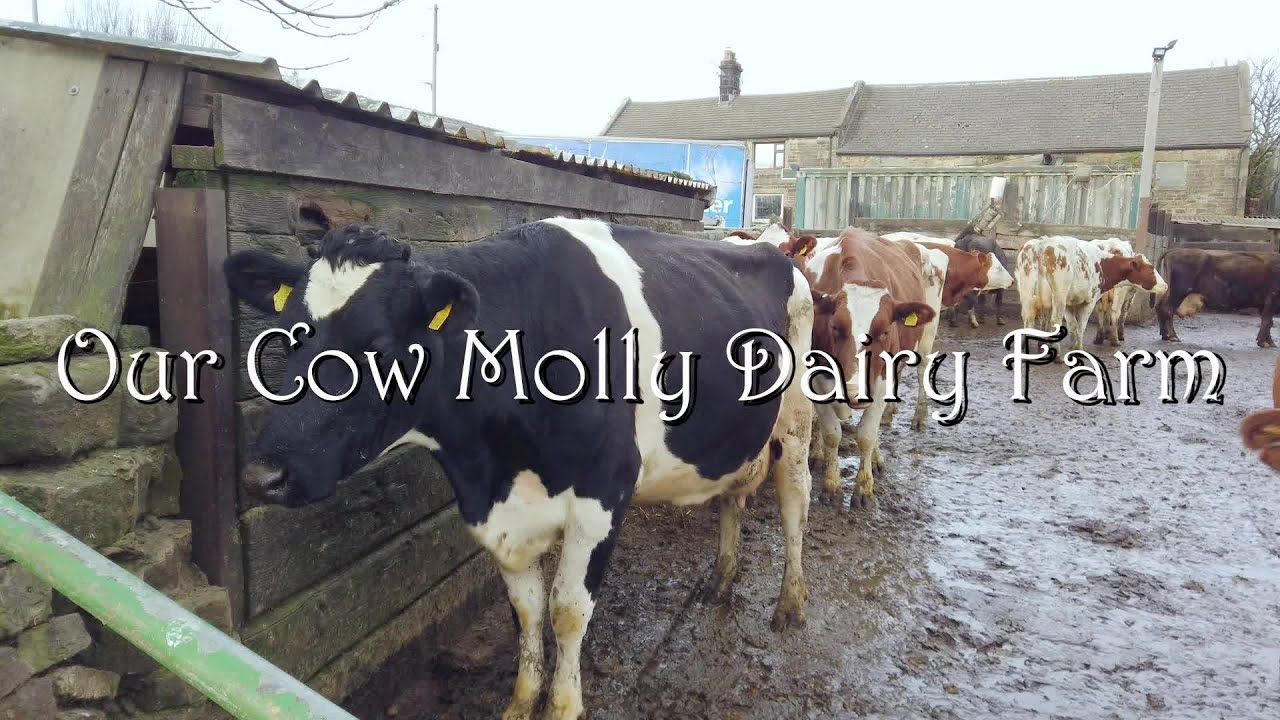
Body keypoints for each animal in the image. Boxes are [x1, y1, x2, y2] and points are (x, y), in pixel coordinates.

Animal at [223, 220, 816, 720]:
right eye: (287, 335)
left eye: (381, 347)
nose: (262, 476)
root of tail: (771, 248)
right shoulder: (495, 512)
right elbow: (527, 611)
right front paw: (521, 702)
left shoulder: (603, 494)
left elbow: (568, 610)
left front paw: (563, 707)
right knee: (732, 499)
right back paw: (721, 580)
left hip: (796, 424)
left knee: (795, 505)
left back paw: (790, 603)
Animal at [778, 228, 936, 508]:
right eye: (834, 327)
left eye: (885, 331)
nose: (854, 393)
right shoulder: (815, 377)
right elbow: (832, 432)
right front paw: (831, 486)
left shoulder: (883, 380)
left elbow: (866, 435)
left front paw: (863, 489)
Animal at [1015, 235, 1168, 361]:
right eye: (1151, 269)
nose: (1166, 286)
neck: (1101, 262)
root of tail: (1041, 245)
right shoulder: (1089, 301)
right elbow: (1081, 325)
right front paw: (1079, 348)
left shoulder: (1069, 304)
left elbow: (1073, 324)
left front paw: (1073, 346)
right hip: (1059, 296)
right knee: (1056, 321)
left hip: (1027, 294)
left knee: (1028, 319)